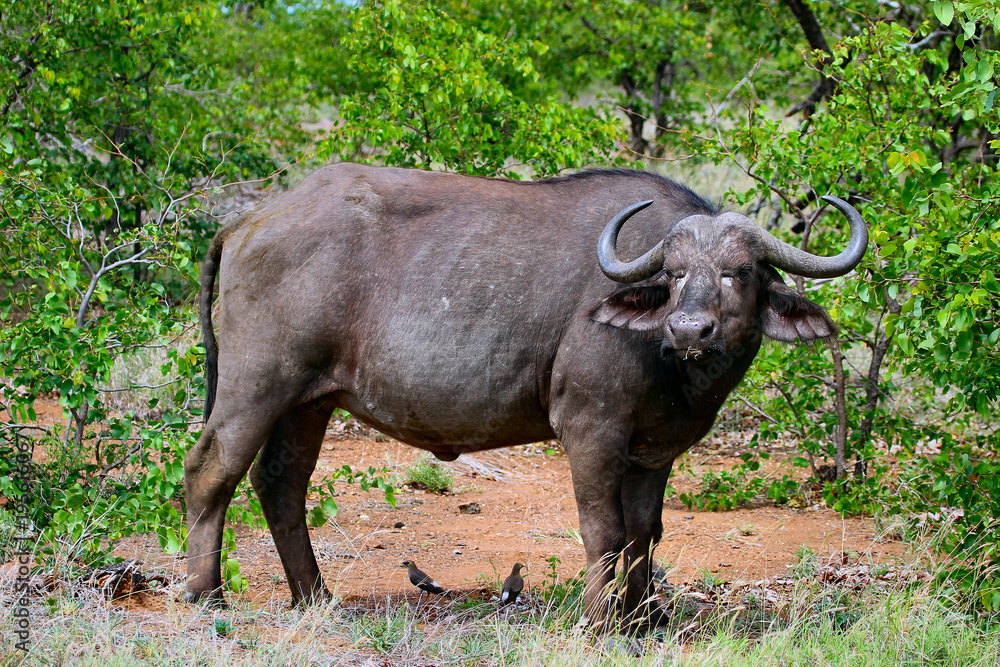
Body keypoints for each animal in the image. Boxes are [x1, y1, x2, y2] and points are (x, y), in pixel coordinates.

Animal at [185, 162, 867, 631]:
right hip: (257, 383)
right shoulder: (591, 431)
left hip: (309, 401)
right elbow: (604, 529)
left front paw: (644, 618)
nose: (688, 329)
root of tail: (246, 220)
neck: (670, 363)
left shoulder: (654, 449)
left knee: (279, 482)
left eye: (739, 272)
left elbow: (645, 532)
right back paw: (204, 592)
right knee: (210, 469)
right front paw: (600, 622)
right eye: (673, 275)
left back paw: (314, 596)